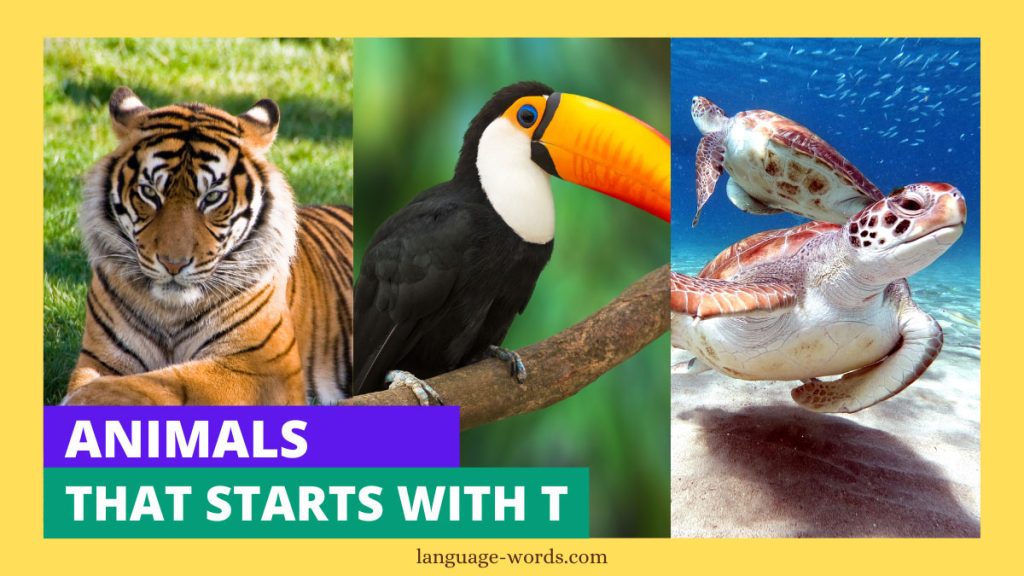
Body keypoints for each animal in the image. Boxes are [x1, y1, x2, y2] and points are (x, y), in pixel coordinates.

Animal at [62, 87, 353, 405]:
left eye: (212, 197)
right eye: (150, 193)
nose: (173, 264)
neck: (171, 311)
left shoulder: (259, 367)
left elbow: (168, 380)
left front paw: (84, 398)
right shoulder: (100, 356)